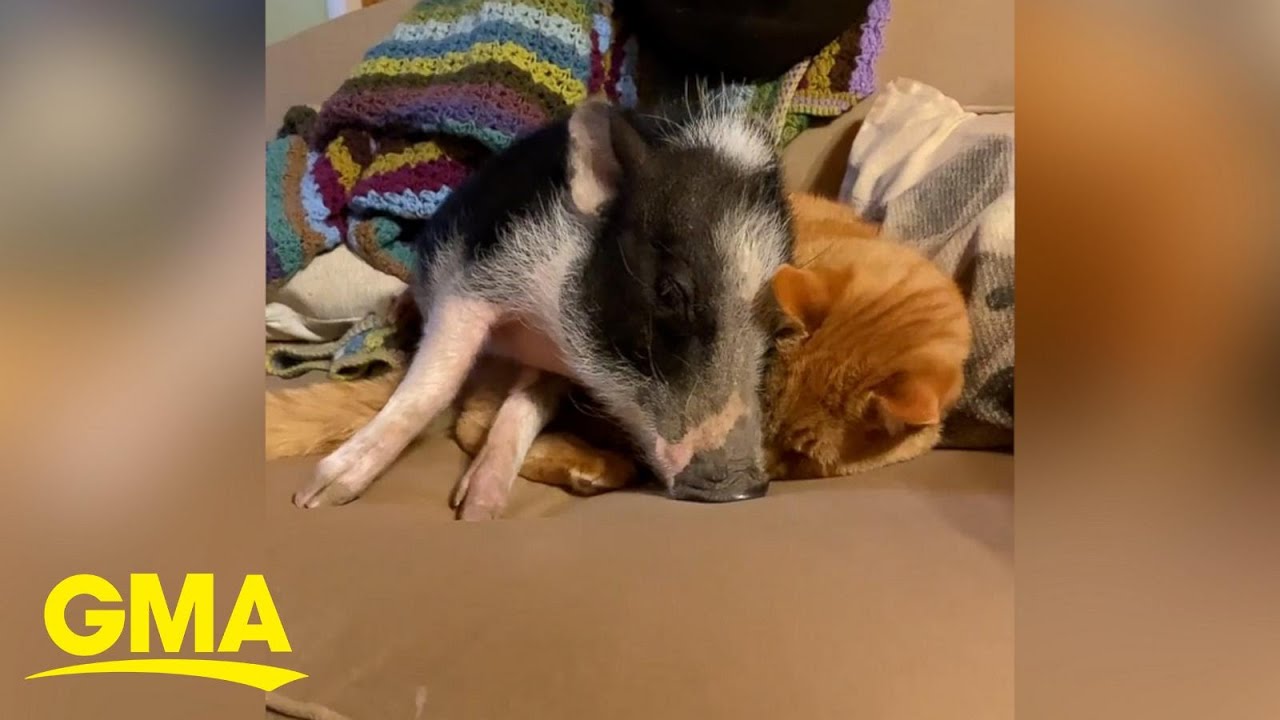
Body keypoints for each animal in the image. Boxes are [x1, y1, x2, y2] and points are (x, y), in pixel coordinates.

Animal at [291, 96, 793, 518]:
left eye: (776, 327)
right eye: (670, 291)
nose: (745, 489)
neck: (542, 329)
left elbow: (527, 406)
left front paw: (479, 510)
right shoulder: (473, 281)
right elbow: (435, 383)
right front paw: (317, 498)